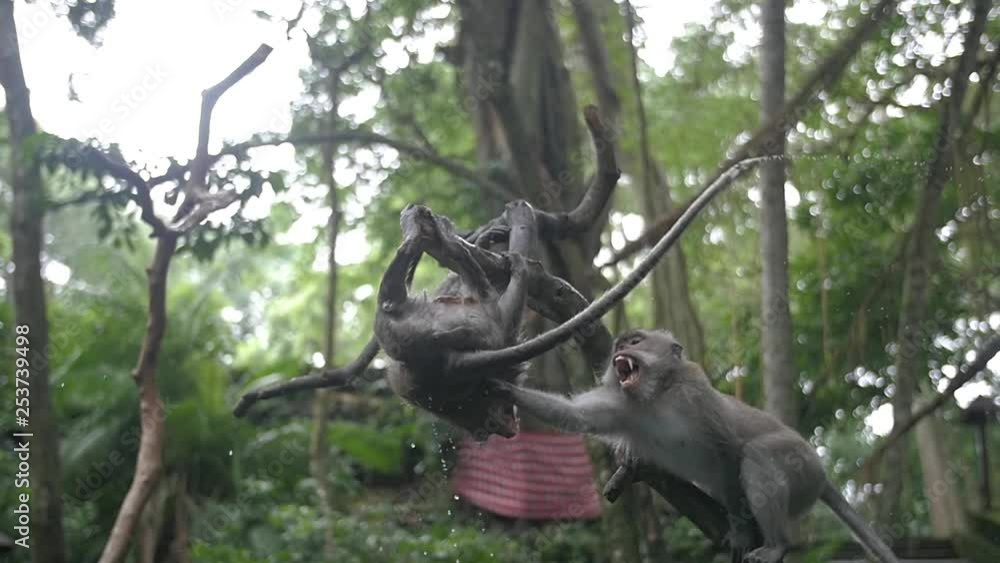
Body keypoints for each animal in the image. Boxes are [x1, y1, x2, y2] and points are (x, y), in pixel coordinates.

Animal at [373, 200, 538, 440]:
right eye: (503, 415)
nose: (512, 428)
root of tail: (446, 361)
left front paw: (484, 240)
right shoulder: (494, 327)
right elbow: (501, 306)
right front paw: (519, 265)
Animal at [492, 329, 900, 563]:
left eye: (635, 341)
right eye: (621, 344)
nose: (619, 347)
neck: (656, 394)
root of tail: (823, 476)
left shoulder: (694, 390)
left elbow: (727, 449)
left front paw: (740, 532)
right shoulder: (622, 406)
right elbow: (574, 416)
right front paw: (500, 387)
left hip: (802, 467)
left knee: (757, 456)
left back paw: (776, 544)